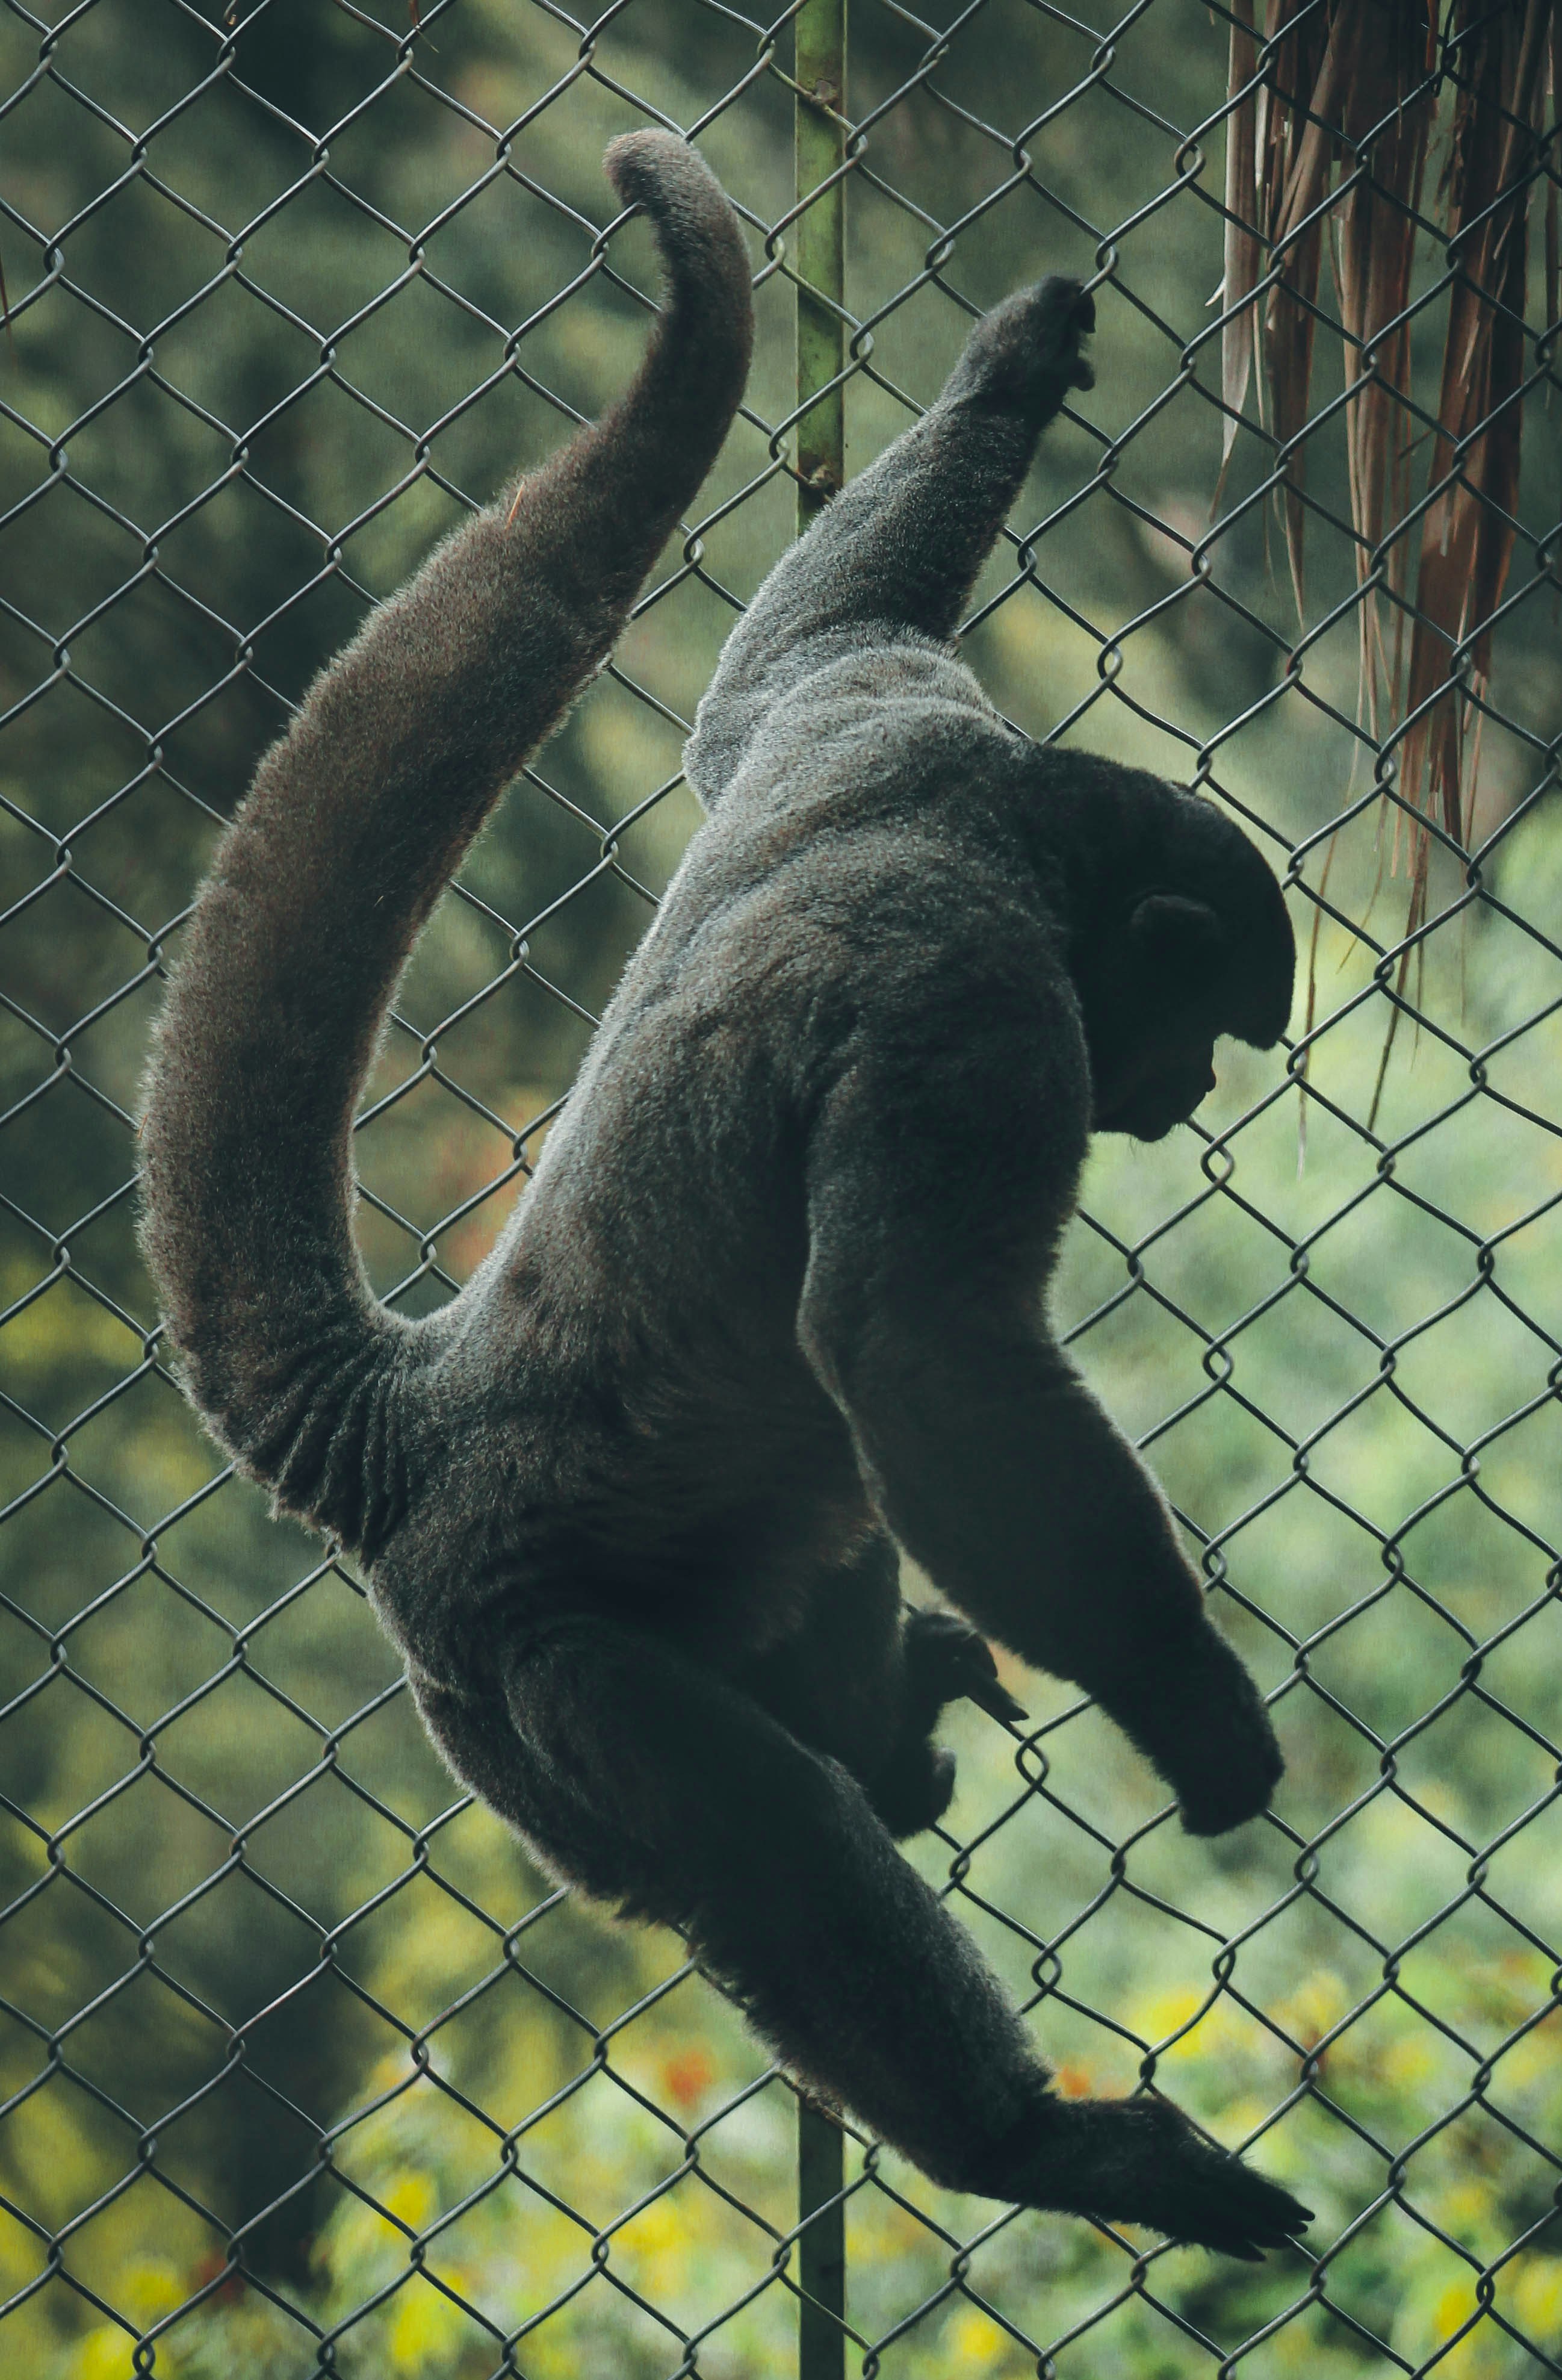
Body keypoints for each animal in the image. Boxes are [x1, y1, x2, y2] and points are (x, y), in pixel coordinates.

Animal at [139, 131, 1312, 2262]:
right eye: (1199, 1031)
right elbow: (918, 1355)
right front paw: (1193, 1712)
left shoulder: (871, 711)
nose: (1185, 1095)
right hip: (535, 1682)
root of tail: (427, 1426)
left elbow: (770, 667)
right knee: (766, 1847)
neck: (982, 817)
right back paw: (1026, 2144)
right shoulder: (969, 1000)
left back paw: (888, 1727)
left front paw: (1013, 368)